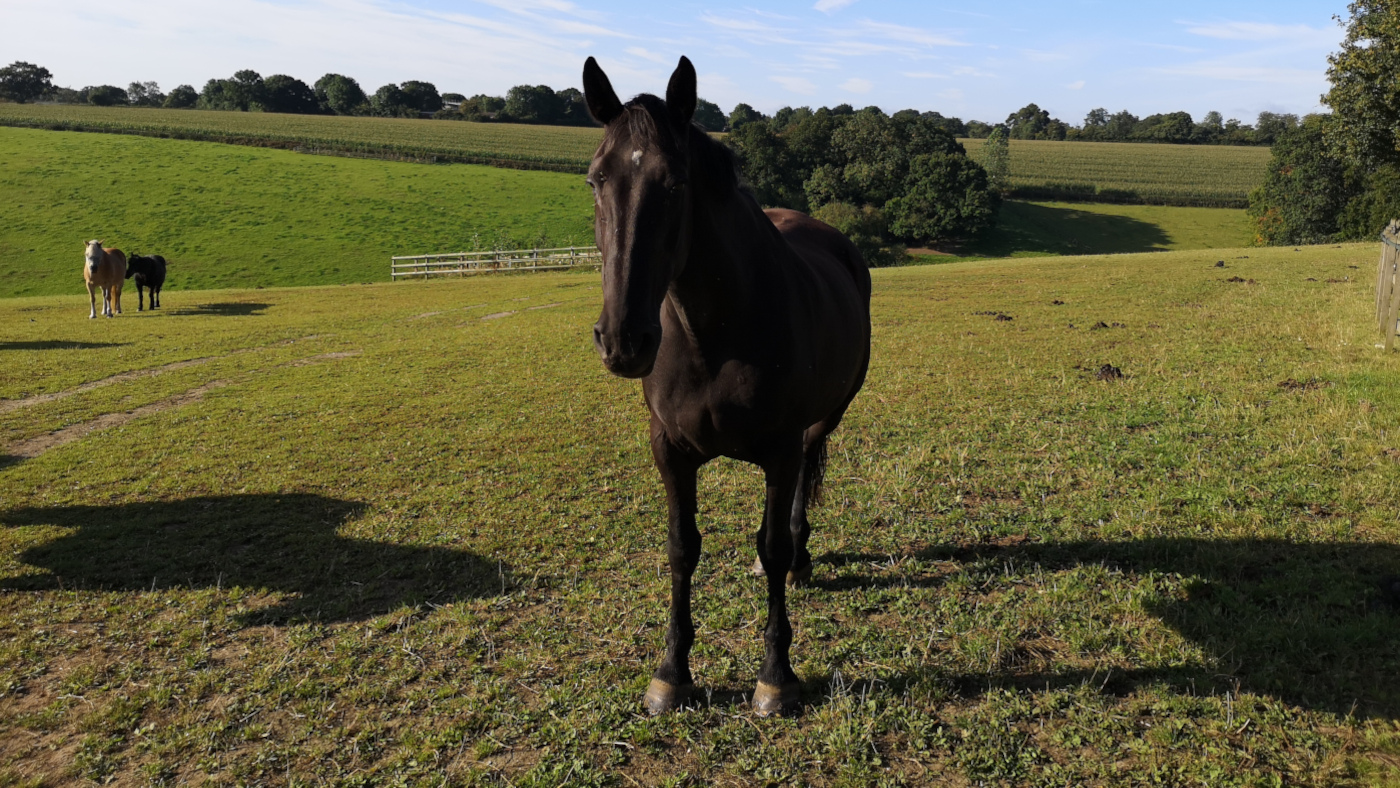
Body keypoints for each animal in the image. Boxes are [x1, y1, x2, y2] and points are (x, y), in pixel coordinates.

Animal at [582, 56, 872, 717]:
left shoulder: (779, 451)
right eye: (595, 180)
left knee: (802, 491)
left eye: (675, 184)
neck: (712, 336)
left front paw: (776, 676)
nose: (623, 341)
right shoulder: (669, 451)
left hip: (823, 421)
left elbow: (771, 545)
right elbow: (681, 547)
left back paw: (801, 562)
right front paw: (671, 672)